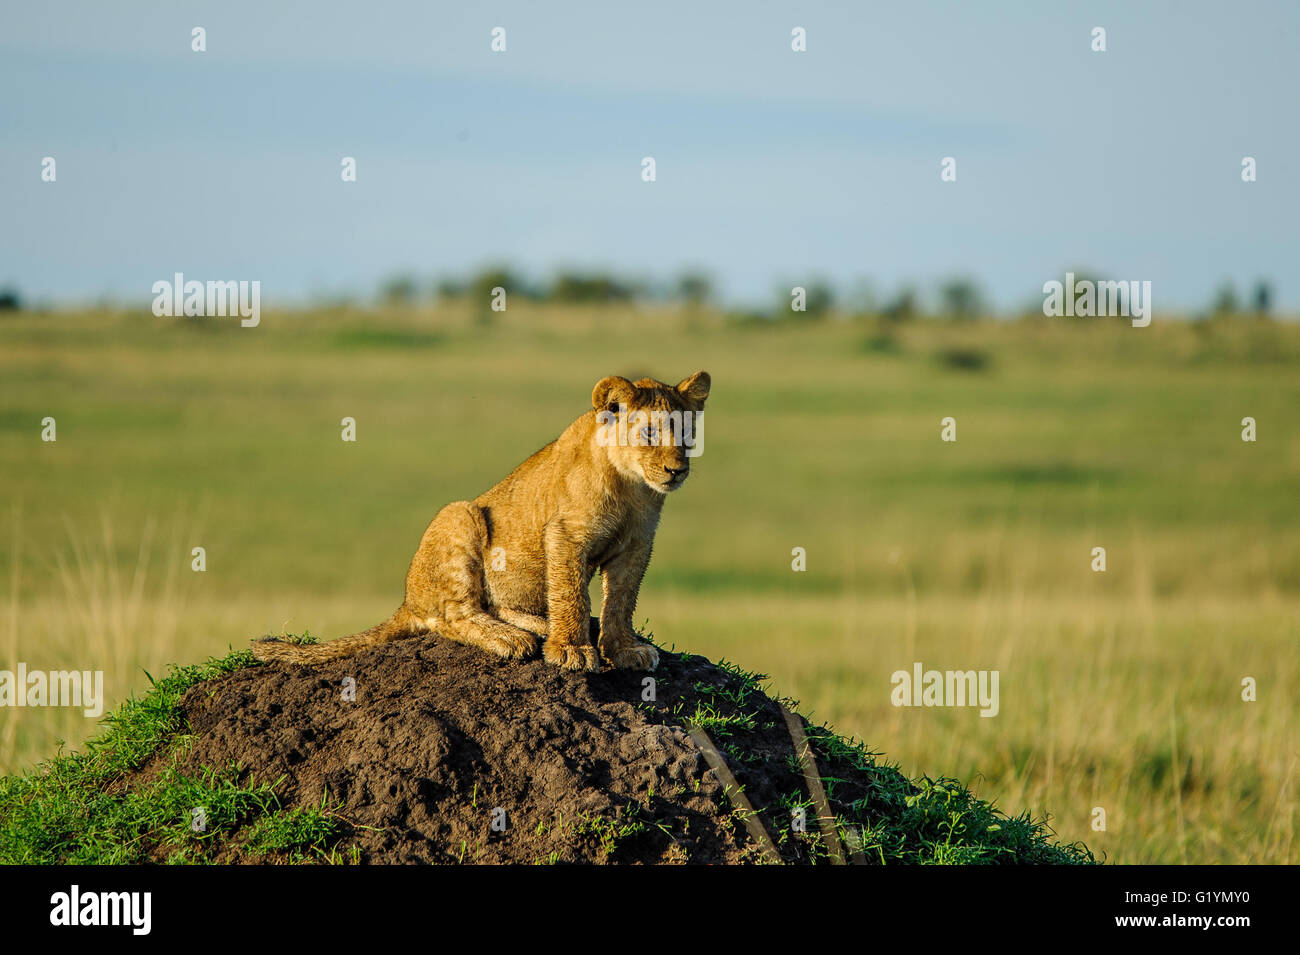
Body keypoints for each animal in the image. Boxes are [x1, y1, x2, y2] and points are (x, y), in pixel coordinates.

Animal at [252, 371, 710, 672]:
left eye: (687, 434)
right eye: (649, 434)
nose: (676, 471)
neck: (632, 486)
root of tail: (406, 601)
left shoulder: (637, 546)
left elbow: (621, 602)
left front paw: (624, 649)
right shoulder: (566, 535)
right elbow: (571, 595)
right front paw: (571, 649)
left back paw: (535, 625)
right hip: (460, 514)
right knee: (452, 616)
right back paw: (513, 638)